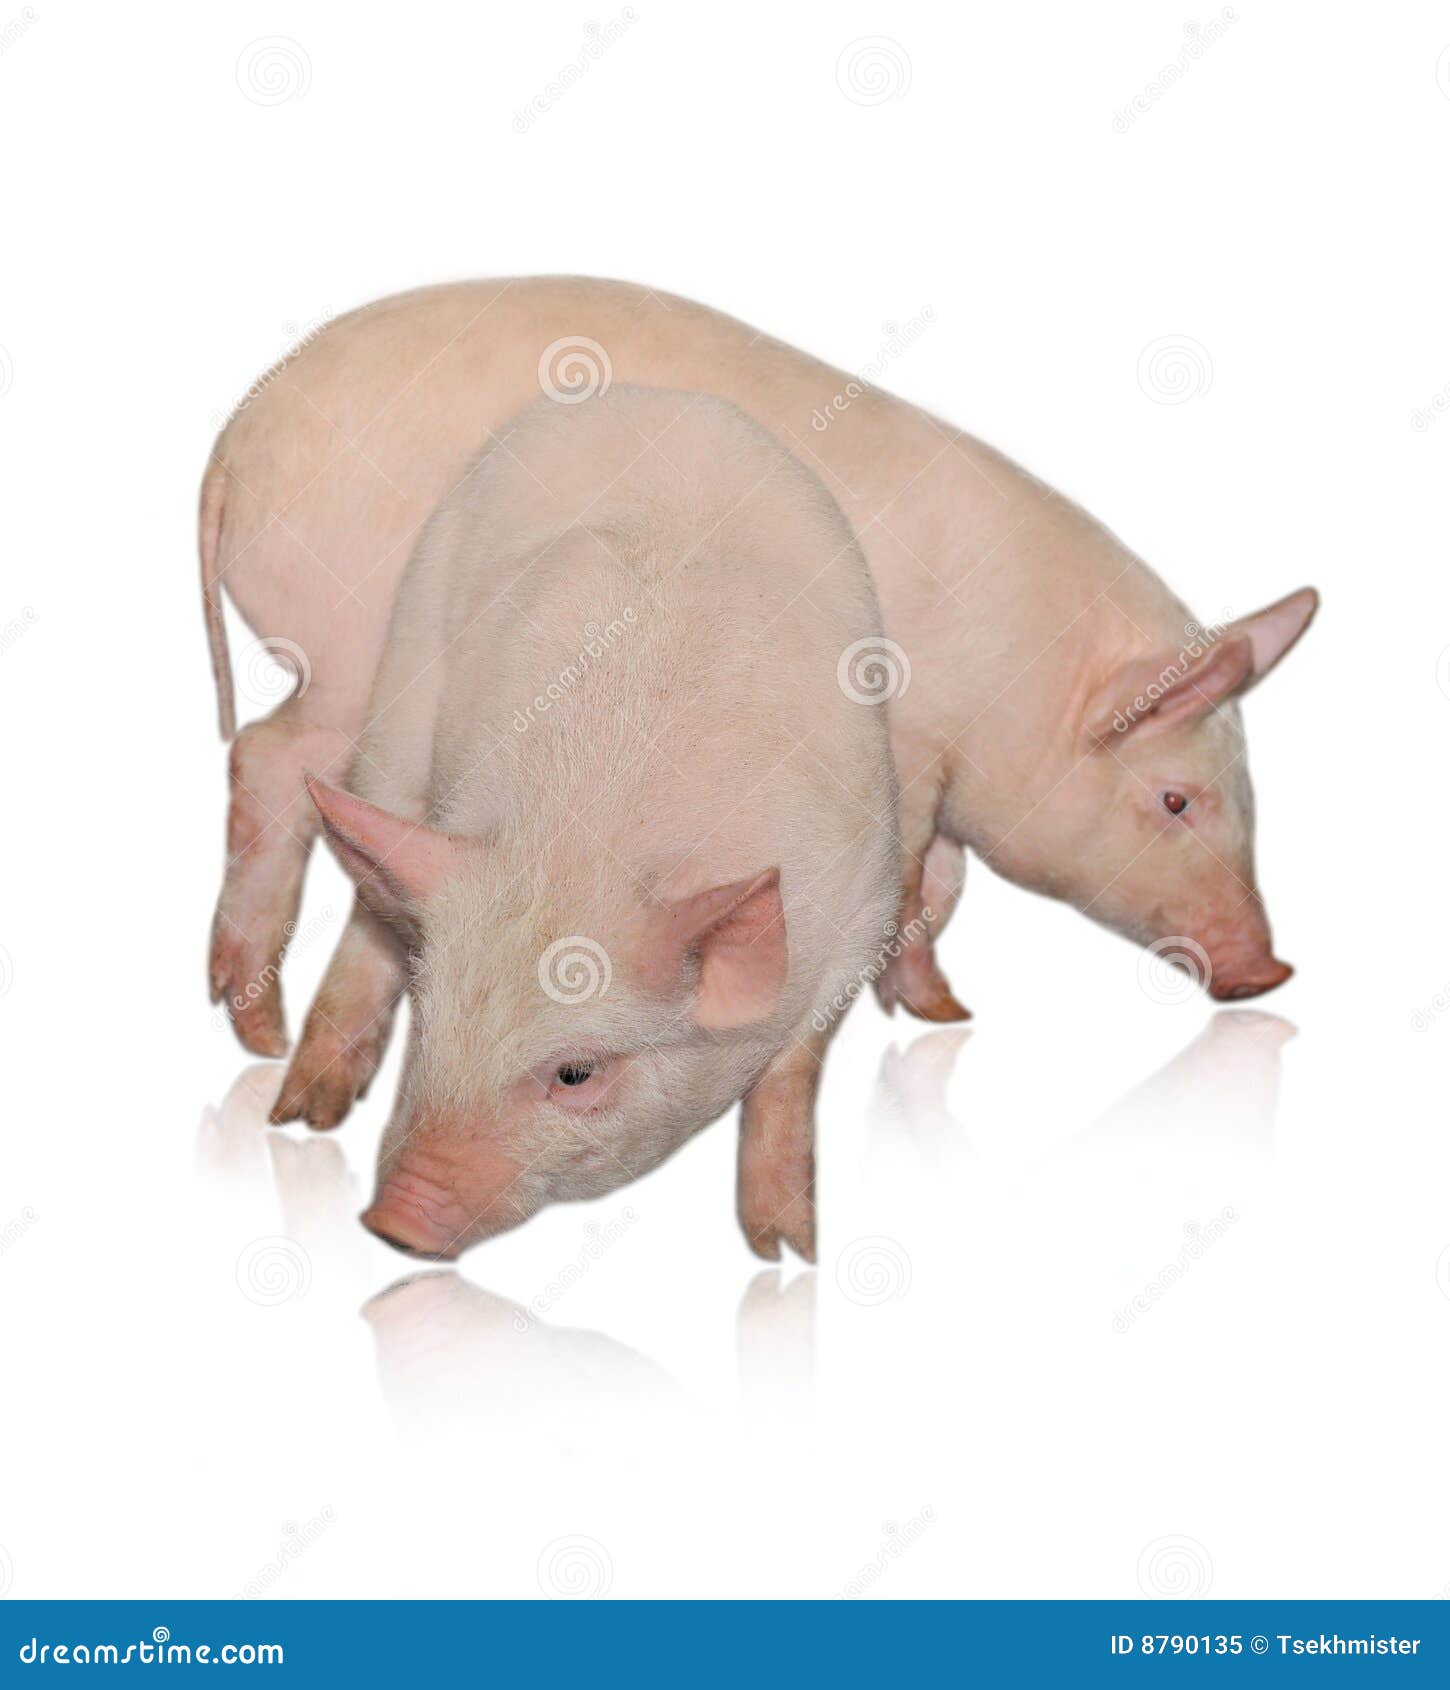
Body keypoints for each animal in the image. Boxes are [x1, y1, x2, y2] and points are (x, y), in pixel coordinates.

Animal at [203, 278, 1317, 1059]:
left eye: (1252, 797)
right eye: (1176, 801)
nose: (1266, 969)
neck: (1014, 673)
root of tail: (235, 439)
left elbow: (949, 878)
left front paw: (943, 1013)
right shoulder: (907, 745)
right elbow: (915, 877)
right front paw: (934, 1004)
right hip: (353, 649)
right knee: (265, 753)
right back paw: (255, 1026)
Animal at [263, 386, 900, 1259]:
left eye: (575, 1073)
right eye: (432, 1026)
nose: (393, 1224)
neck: (582, 842)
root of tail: (641, 394)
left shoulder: (867, 904)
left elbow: (790, 1067)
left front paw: (789, 1250)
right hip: (405, 677)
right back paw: (300, 1113)